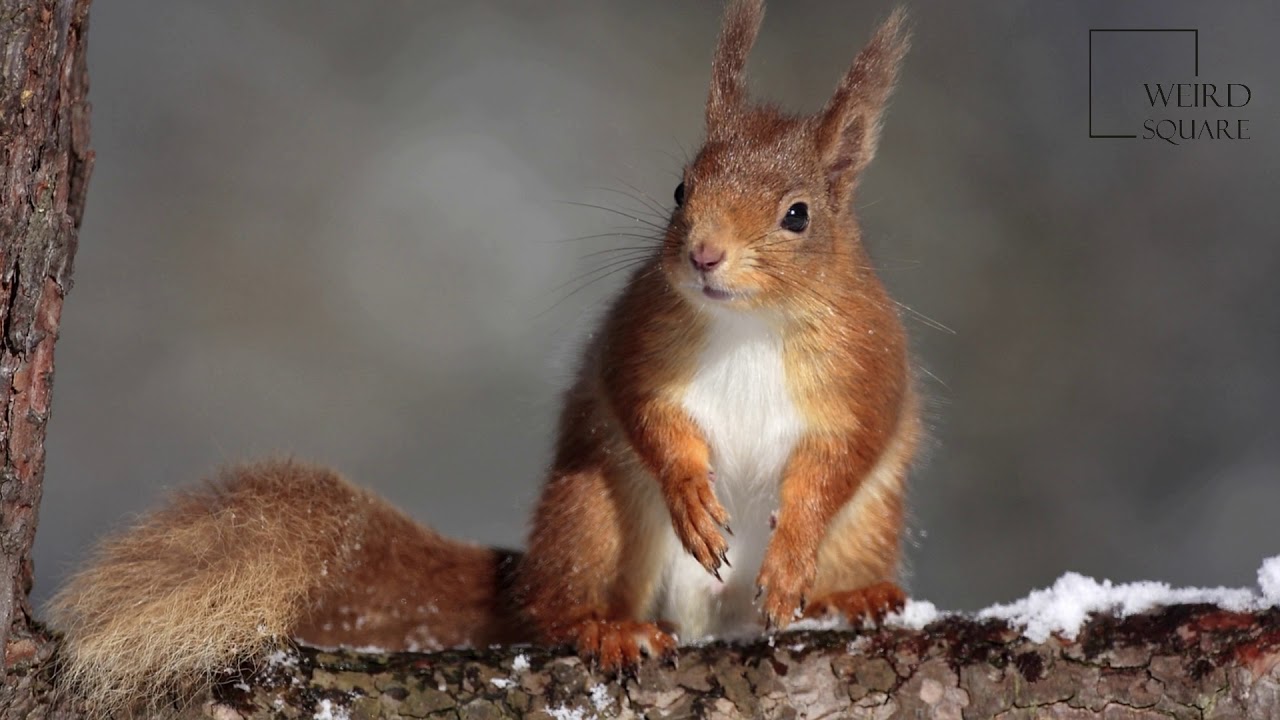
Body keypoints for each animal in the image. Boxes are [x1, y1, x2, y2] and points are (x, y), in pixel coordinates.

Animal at [49, 0, 917, 713]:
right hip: (594, 512)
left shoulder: (866, 364)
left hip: (870, 518)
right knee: (554, 604)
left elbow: (845, 452)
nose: (704, 254)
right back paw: (605, 626)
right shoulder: (643, 337)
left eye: (798, 215)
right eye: (681, 190)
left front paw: (792, 553)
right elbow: (643, 411)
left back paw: (848, 597)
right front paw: (693, 499)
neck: (746, 324)